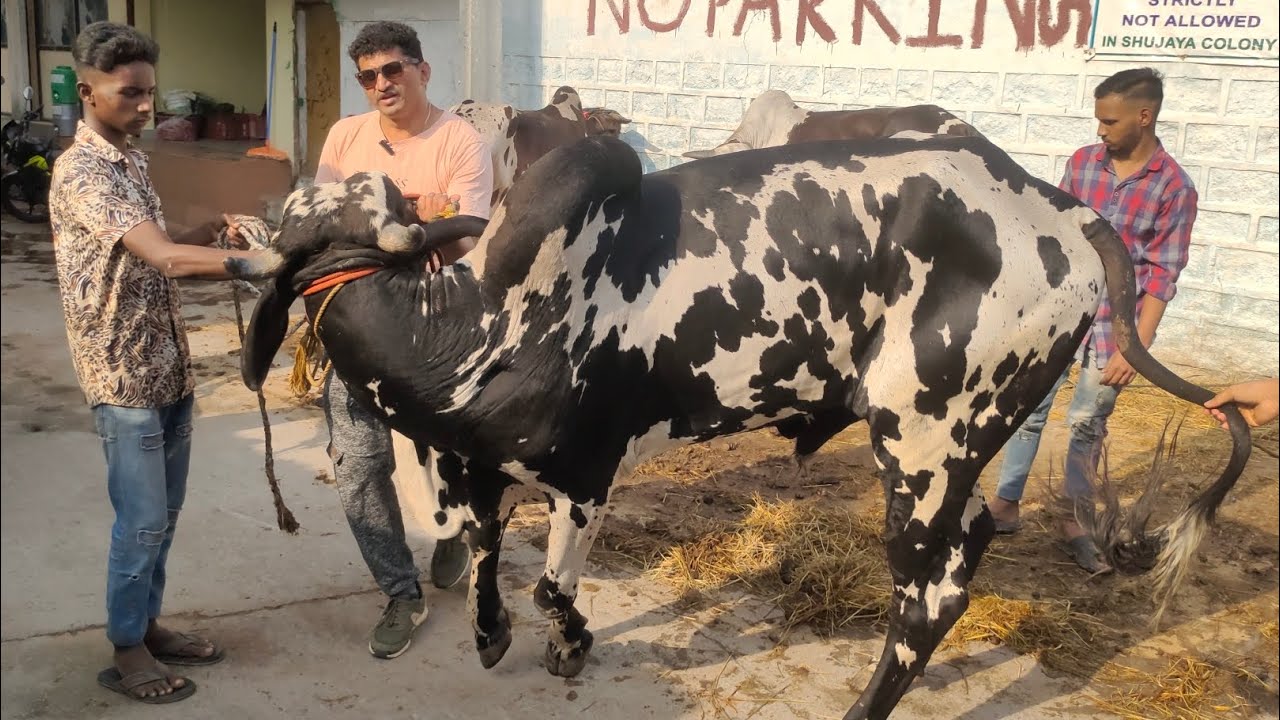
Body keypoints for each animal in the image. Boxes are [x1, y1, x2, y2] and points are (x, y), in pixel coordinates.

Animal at [227, 134, 1250, 720]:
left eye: (370, 202)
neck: (465, 328)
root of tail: (1060, 207)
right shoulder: (485, 473)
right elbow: (486, 562)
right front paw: (497, 637)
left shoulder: (586, 474)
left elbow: (551, 585)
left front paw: (569, 642)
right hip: (953, 453)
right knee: (968, 556)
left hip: (920, 446)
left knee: (928, 597)